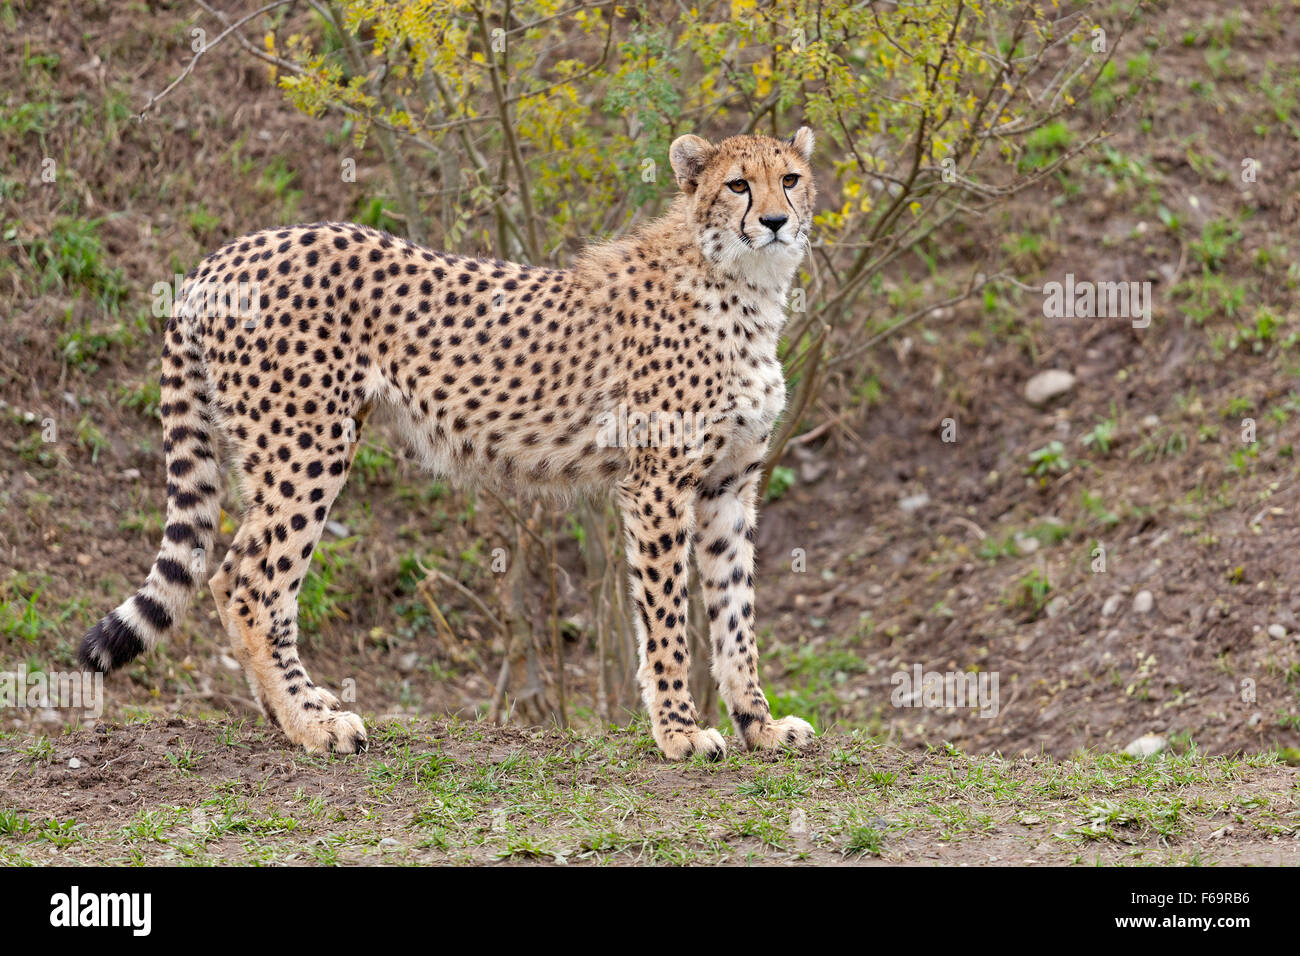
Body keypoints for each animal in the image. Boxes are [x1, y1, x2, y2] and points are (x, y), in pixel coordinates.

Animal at [78, 127, 818, 762]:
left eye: (789, 179)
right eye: (737, 185)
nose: (776, 222)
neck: (744, 288)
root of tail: (229, 250)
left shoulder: (728, 487)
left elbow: (736, 617)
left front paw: (760, 725)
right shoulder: (659, 484)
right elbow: (667, 618)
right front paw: (679, 732)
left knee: (237, 577)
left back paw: (291, 712)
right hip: (307, 446)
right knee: (251, 584)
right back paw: (311, 725)